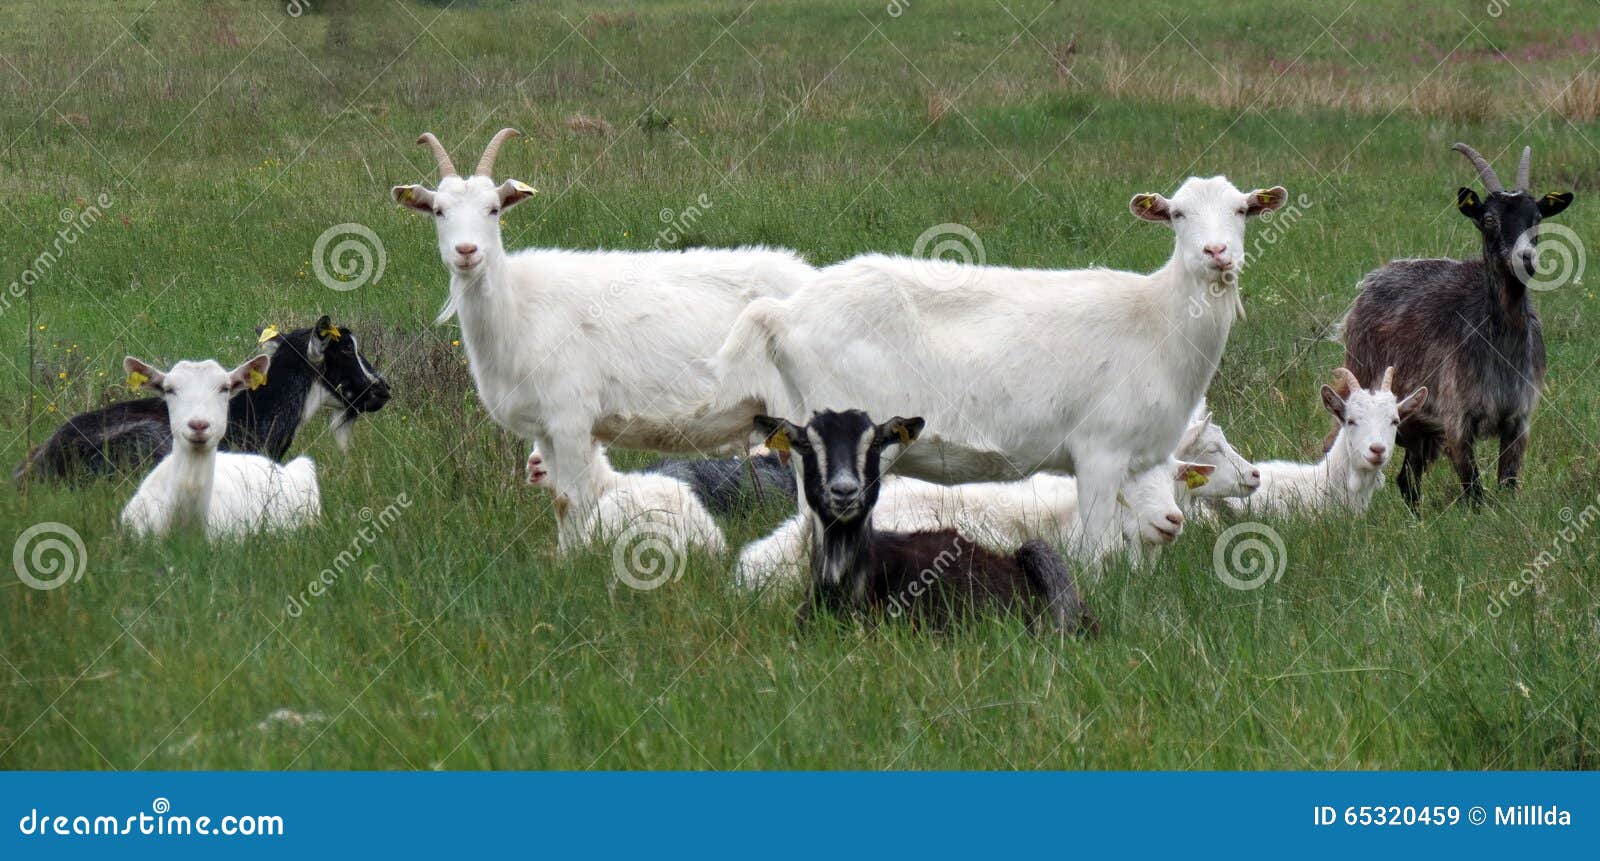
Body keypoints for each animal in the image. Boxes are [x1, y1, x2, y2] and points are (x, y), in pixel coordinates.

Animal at [393, 129, 813, 549]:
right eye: (438, 211)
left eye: (494, 209)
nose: (467, 251)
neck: (517, 310)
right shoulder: (545, 427)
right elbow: (560, 500)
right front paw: (567, 556)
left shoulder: (571, 418)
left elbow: (573, 497)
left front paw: (582, 557)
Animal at [711, 175, 1286, 566]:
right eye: (1178, 215)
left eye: (1242, 210)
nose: (1217, 251)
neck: (1159, 319)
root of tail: (782, 311)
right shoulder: (1101, 448)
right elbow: (1096, 546)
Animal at [1340, 142, 1573, 511]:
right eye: (1489, 219)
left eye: (1536, 218)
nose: (1526, 259)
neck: (1499, 343)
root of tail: (1372, 282)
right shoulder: (1457, 421)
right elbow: (1474, 491)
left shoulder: (1518, 420)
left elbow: (1507, 485)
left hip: (1420, 430)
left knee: (1407, 481)